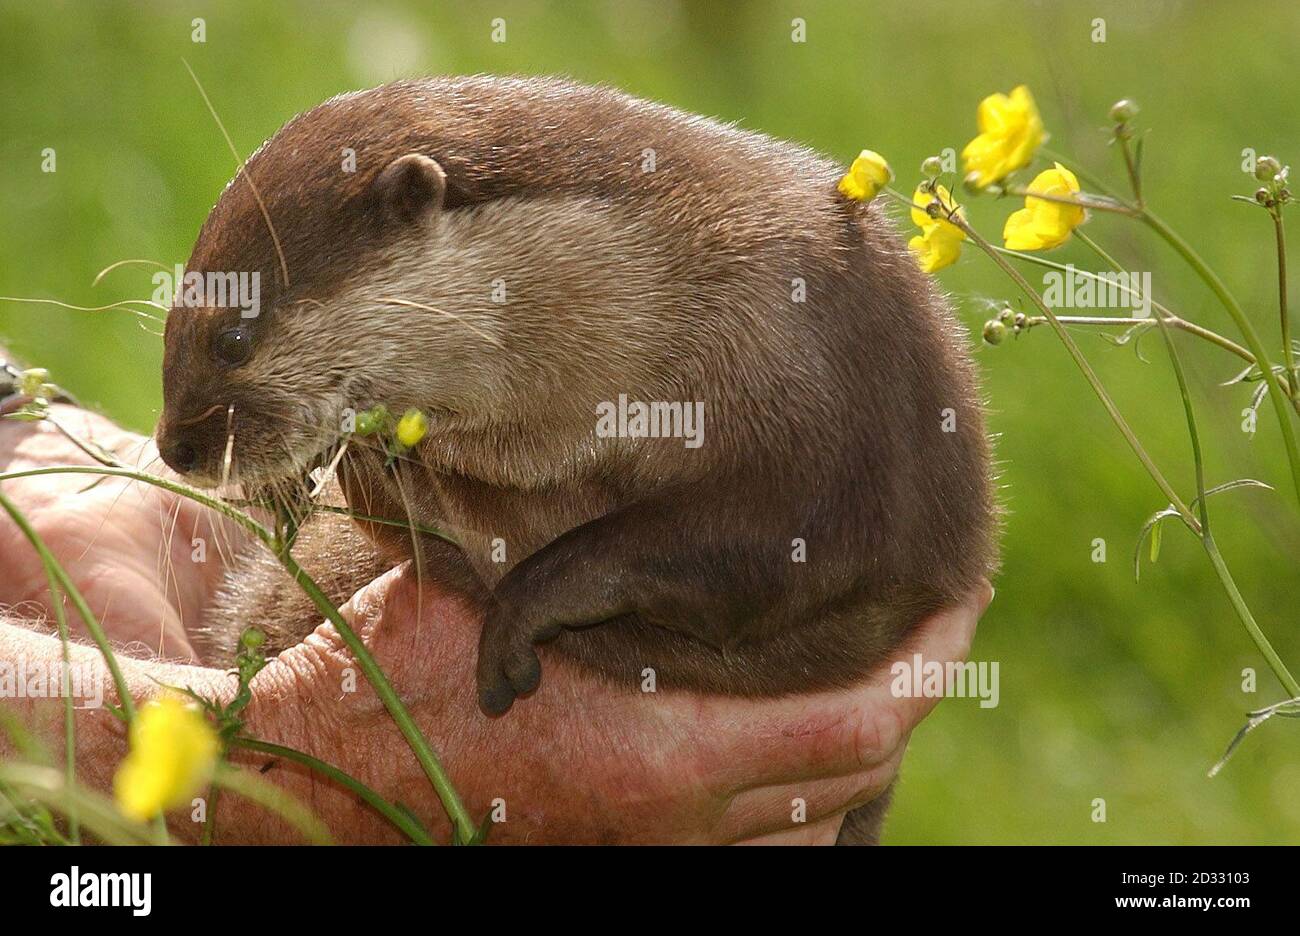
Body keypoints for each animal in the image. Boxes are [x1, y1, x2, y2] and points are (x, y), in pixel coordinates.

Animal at [155, 75, 995, 844]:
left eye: (231, 338)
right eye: (171, 328)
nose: (174, 446)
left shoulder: (831, 409)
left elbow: (761, 549)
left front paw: (528, 601)